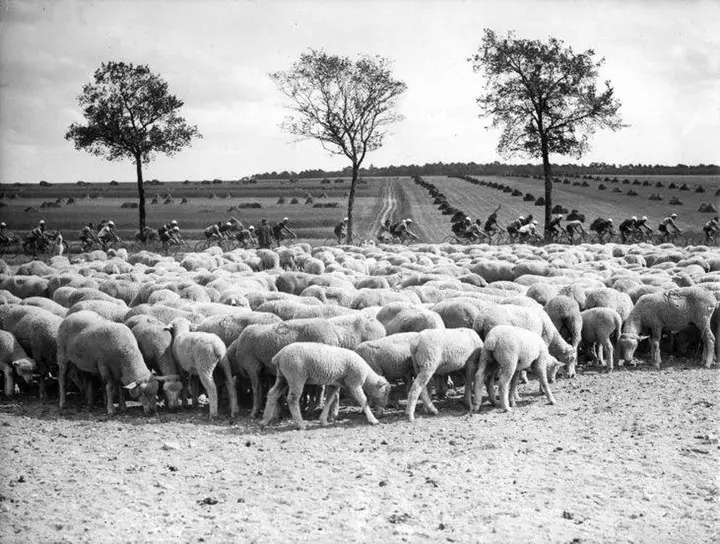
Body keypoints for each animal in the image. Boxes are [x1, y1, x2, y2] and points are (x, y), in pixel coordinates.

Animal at [262, 344, 390, 430]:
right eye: (385, 392)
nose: (385, 405)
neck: (367, 374)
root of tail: (279, 355)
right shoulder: (354, 383)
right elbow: (363, 400)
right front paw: (373, 420)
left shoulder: (334, 384)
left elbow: (329, 400)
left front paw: (323, 421)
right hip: (296, 376)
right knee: (292, 399)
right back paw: (300, 424)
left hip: (282, 377)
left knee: (272, 393)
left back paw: (265, 420)